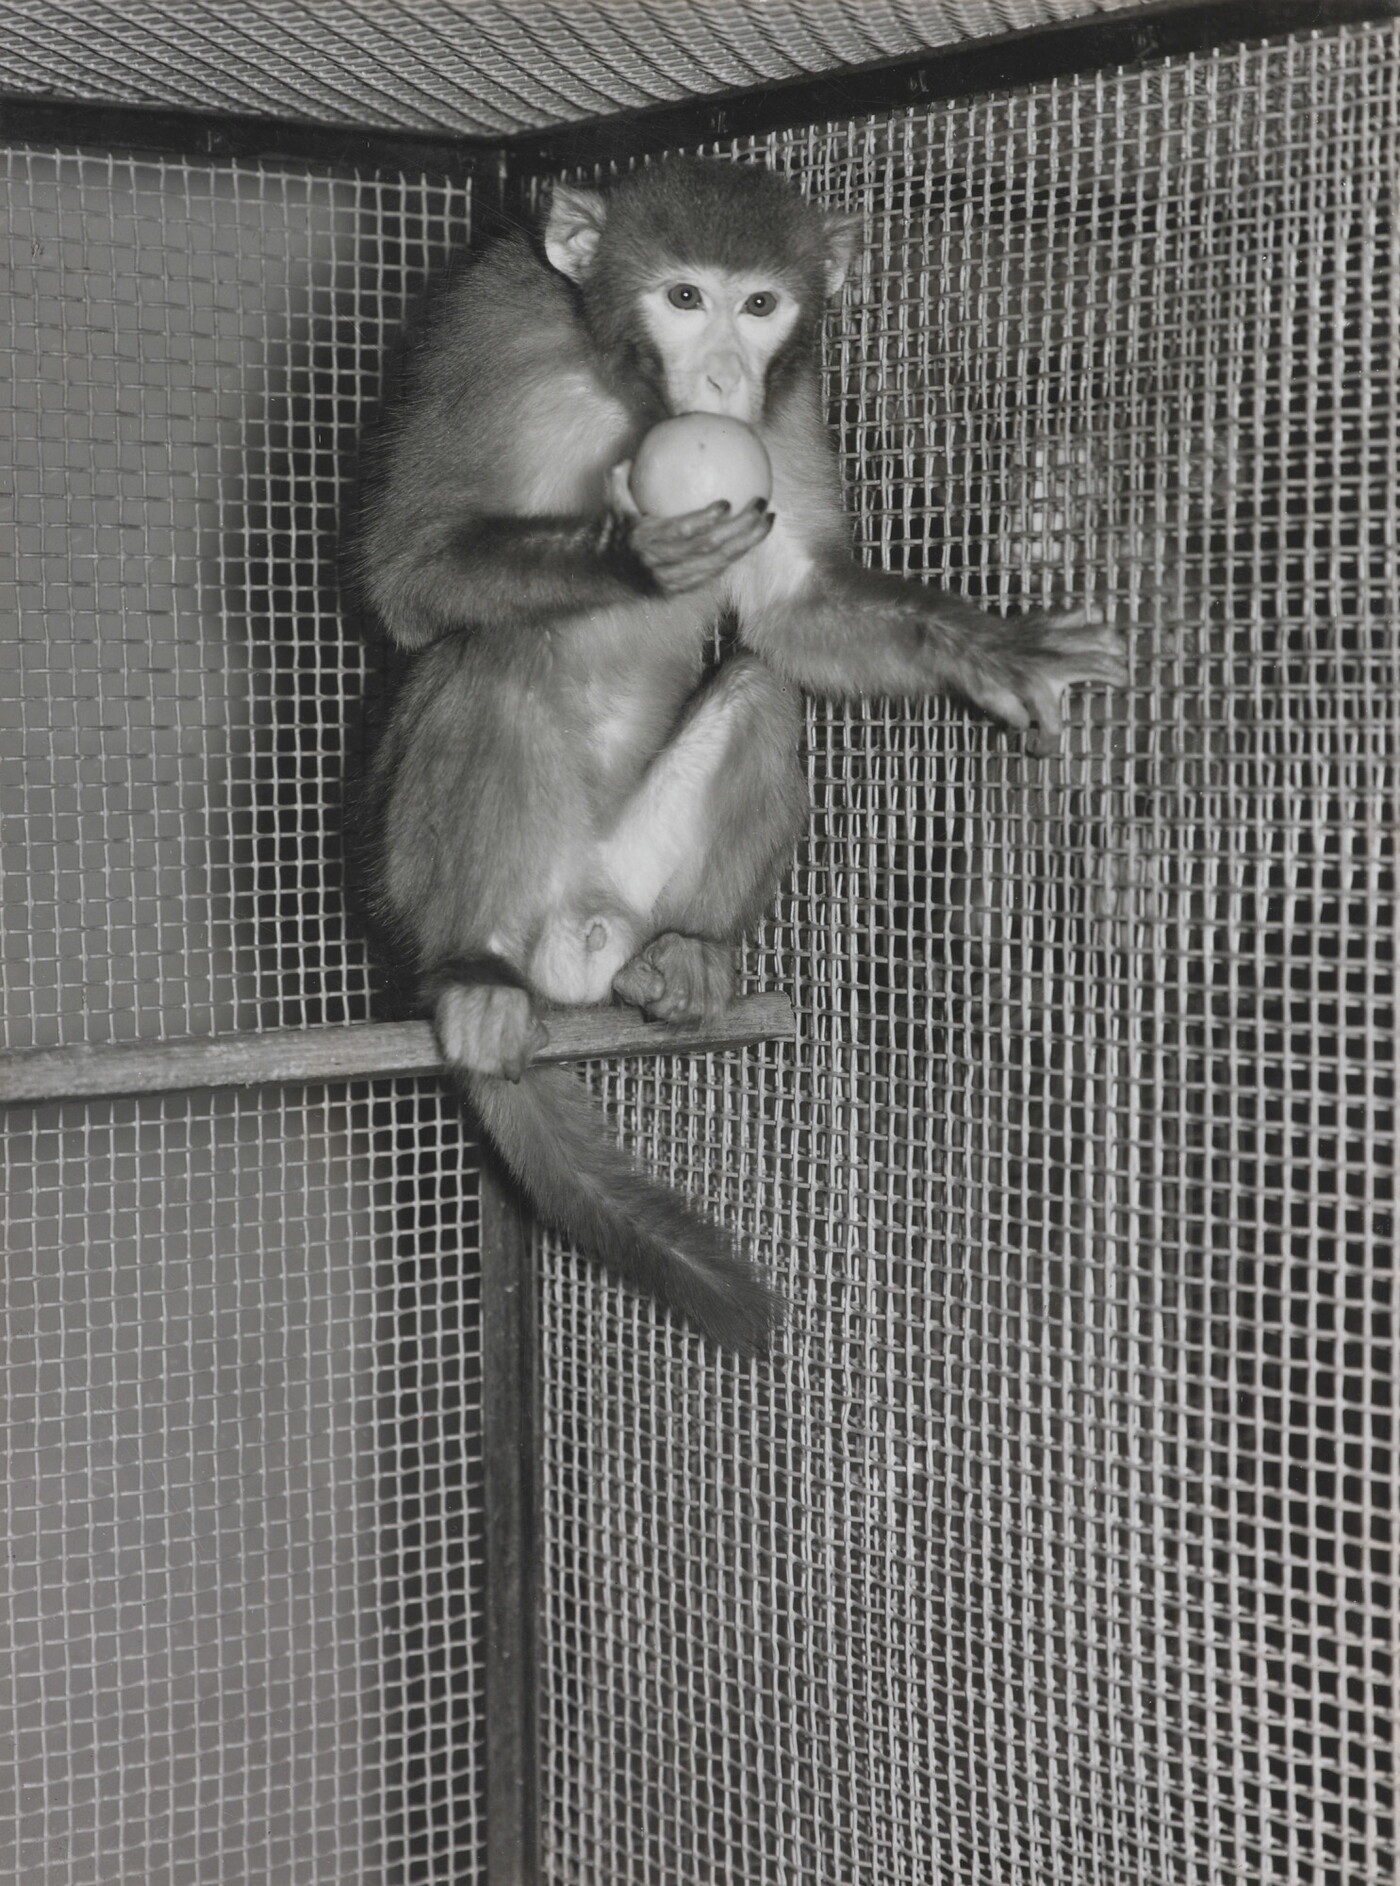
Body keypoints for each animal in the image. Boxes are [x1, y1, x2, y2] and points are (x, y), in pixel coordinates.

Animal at [361, 158, 1127, 1356]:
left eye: (759, 305)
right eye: (683, 298)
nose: (724, 374)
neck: (618, 384)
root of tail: (572, 933)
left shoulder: (794, 393)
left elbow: (789, 609)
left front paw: (993, 647)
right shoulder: (486, 324)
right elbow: (405, 570)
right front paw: (628, 555)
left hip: (630, 882)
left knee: (763, 689)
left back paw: (688, 954)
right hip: (465, 891)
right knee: (495, 654)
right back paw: (470, 972)